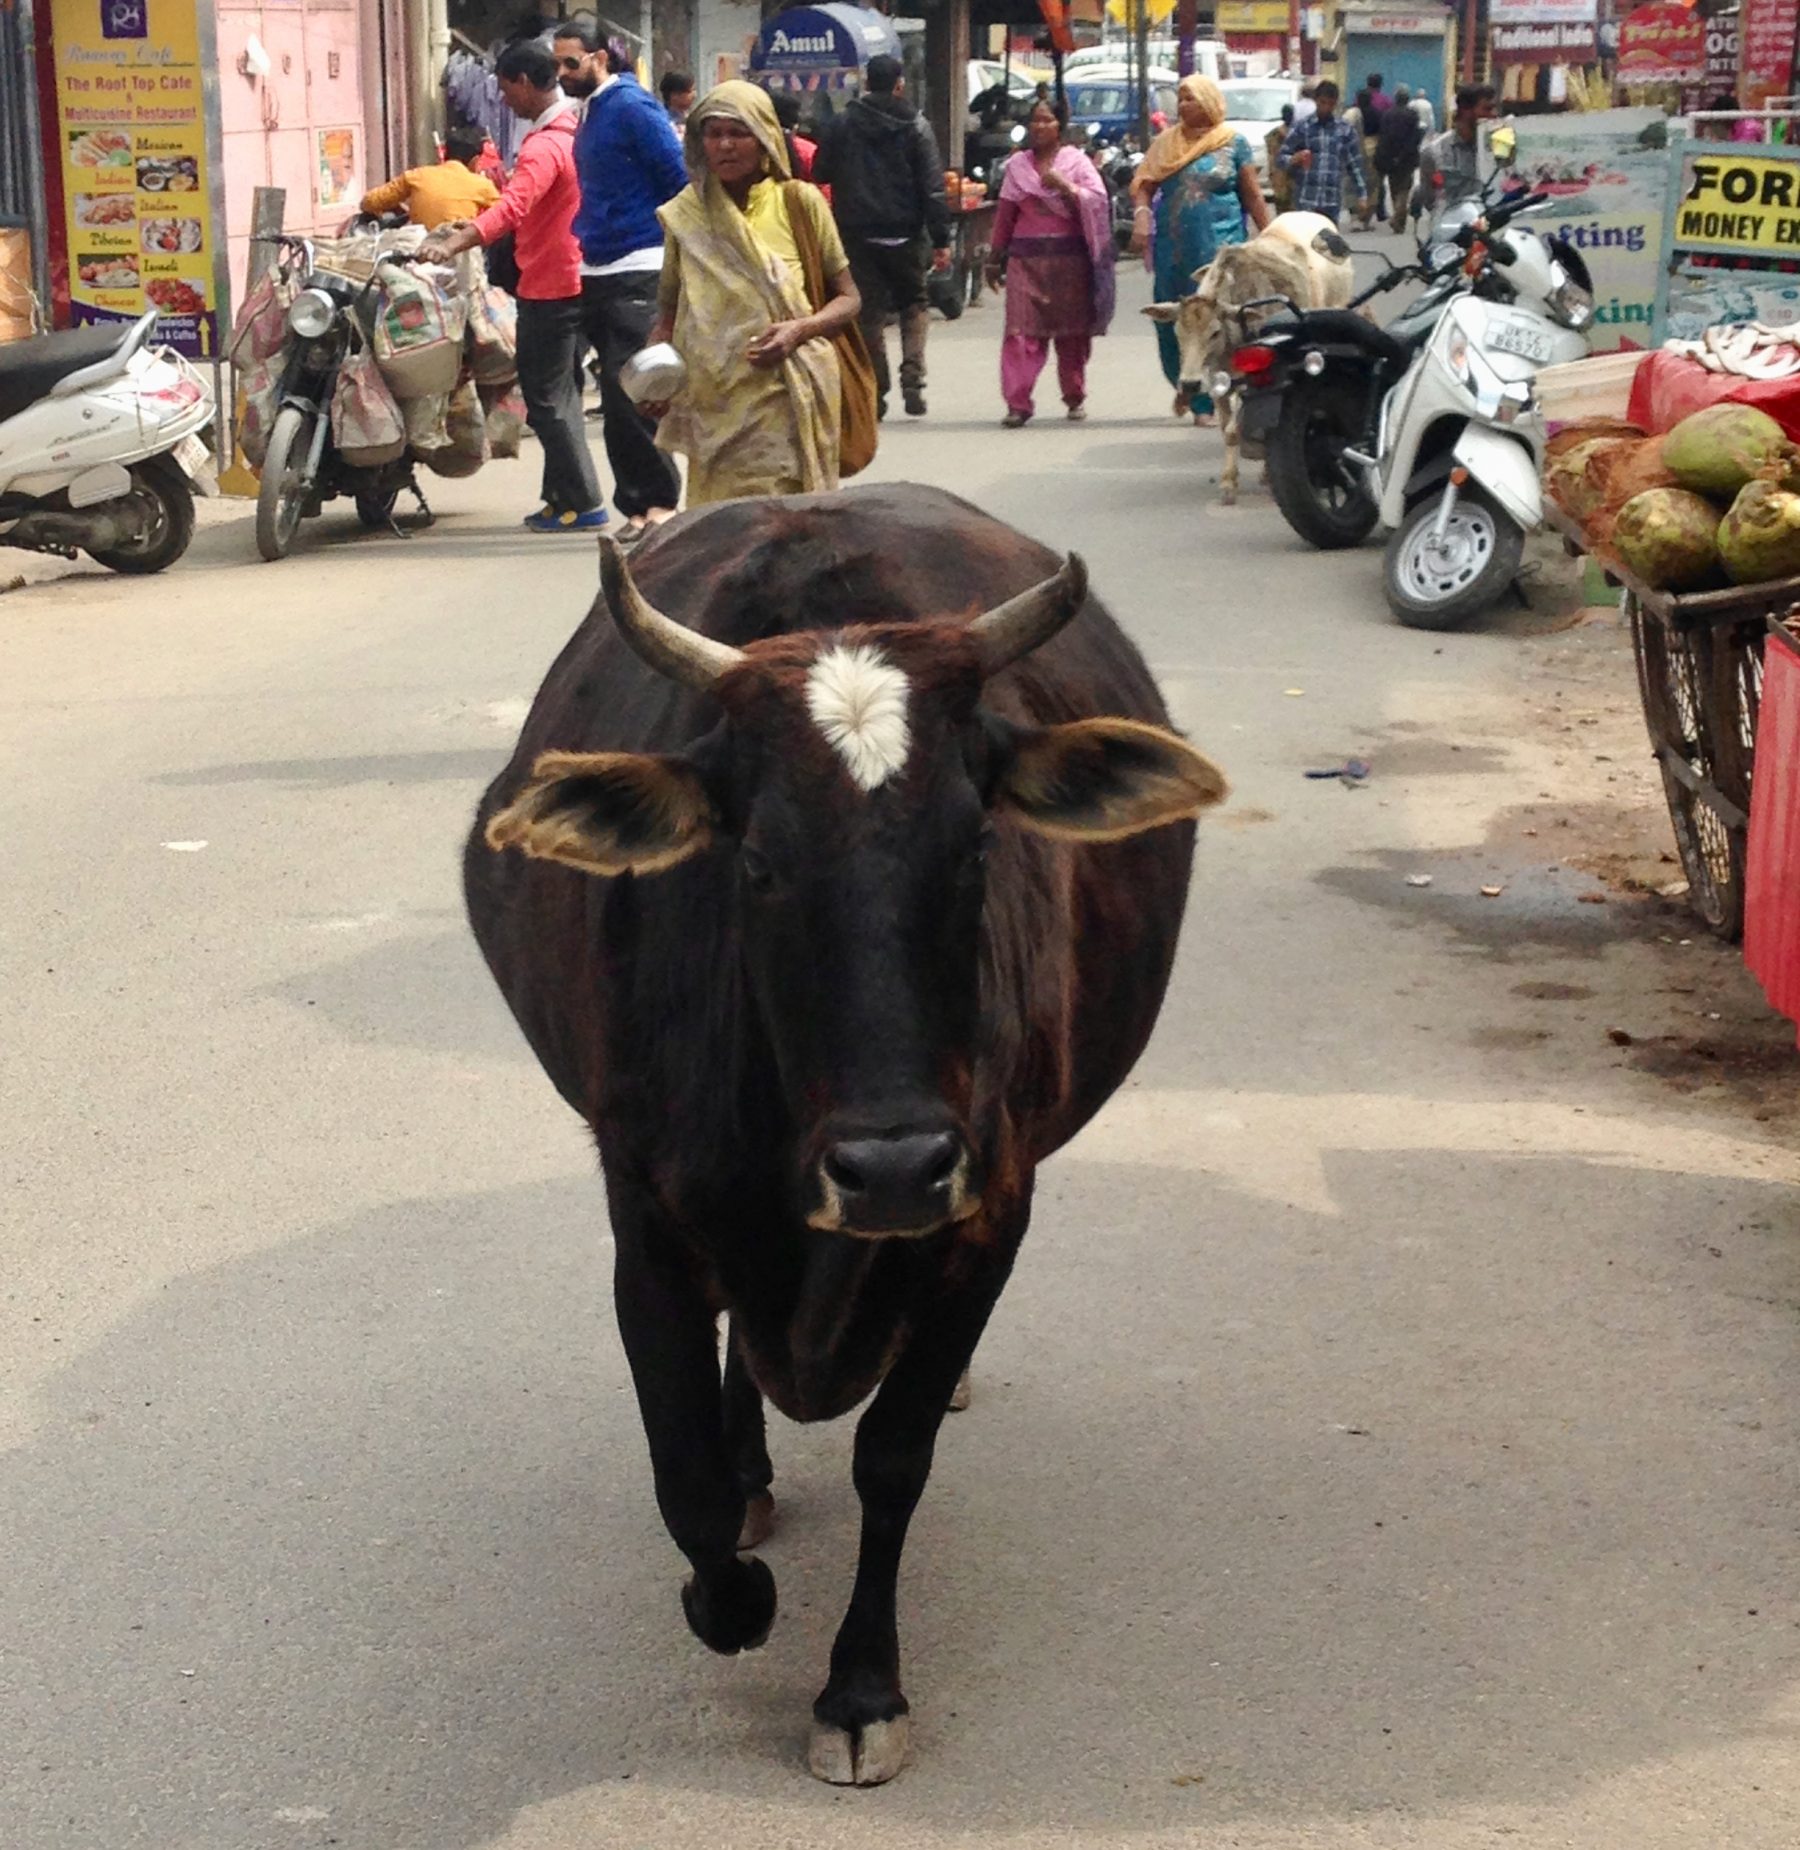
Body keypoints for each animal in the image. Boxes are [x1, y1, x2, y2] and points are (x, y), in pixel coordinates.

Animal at [463, 483, 1226, 1787]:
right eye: (759, 859)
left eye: (978, 845)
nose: (892, 1169)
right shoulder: (647, 1219)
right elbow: (687, 1482)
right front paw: (734, 1589)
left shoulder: (990, 1209)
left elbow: (892, 1454)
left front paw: (862, 1685)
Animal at [1144, 210, 1356, 505]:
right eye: (1178, 333)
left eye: (1214, 332)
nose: (1189, 383)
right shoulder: (1216, 380)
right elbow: (1227, 429)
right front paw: (1229, 480)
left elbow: (1240, 428)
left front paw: (1239, 480)